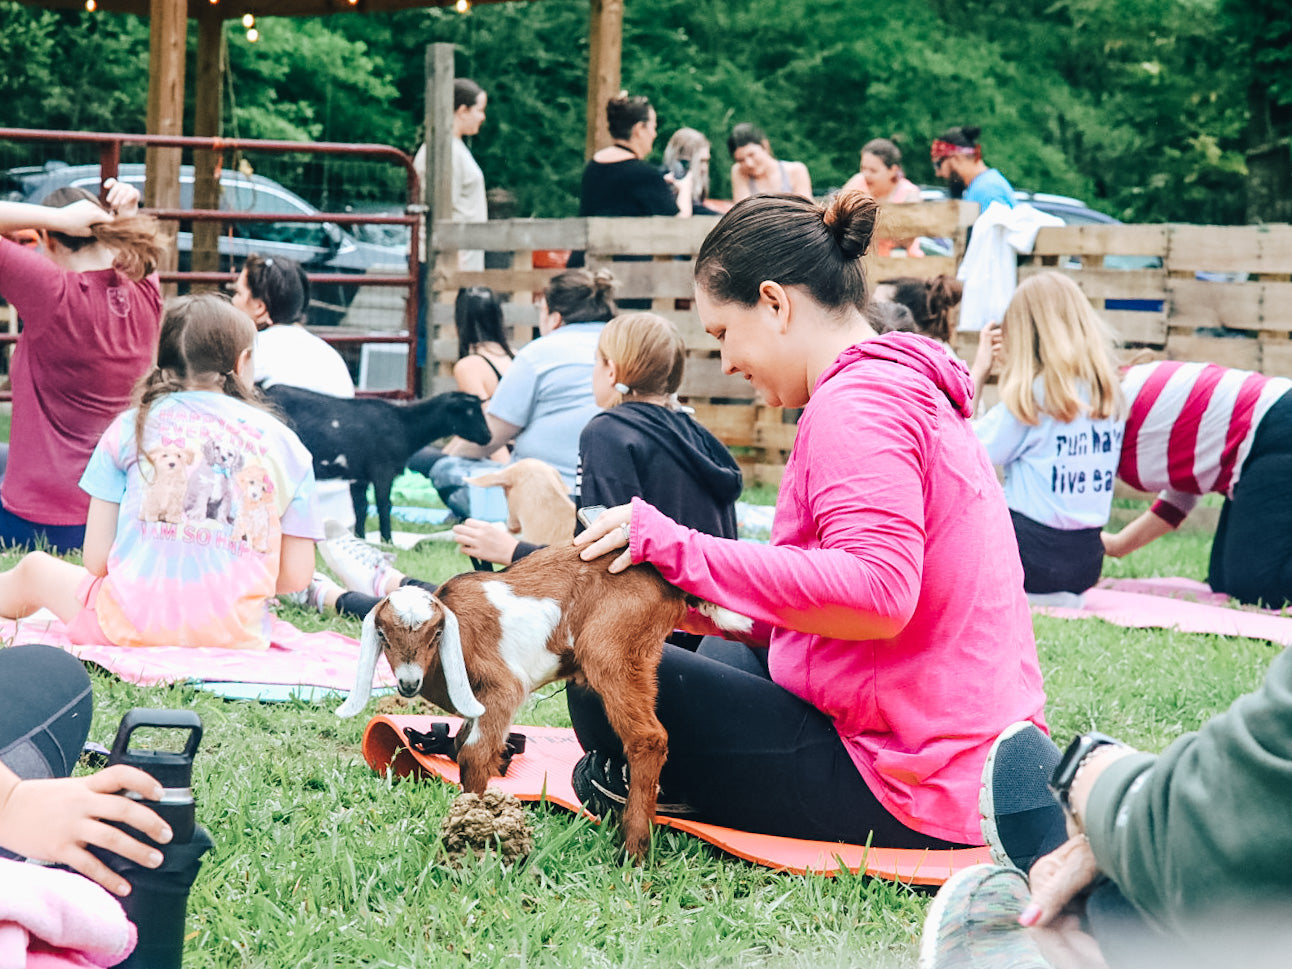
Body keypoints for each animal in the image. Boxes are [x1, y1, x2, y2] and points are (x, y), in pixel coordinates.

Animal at [262, 385, 490, 542]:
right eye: (469, 412)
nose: (488, 436)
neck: (405, 426)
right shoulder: (383, 471)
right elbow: (384, 505)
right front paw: (388, 540)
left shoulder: (358, 476)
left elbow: (361, 507)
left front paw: (361, 538)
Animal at [336, 542, 752, 860]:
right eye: (383, 635)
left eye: (437, 634)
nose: (408, 682)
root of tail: (666, 581)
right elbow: (462, 744)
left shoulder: (503, 688)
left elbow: (473, 754)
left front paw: (468, 831)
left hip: (613, 647)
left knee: (648, 738)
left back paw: (633, 850)